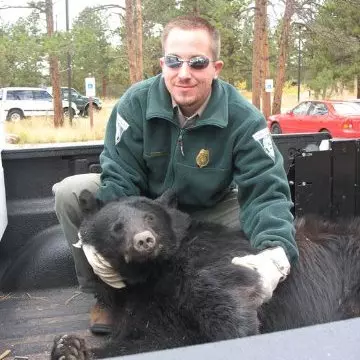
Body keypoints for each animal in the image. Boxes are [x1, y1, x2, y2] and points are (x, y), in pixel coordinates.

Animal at [50, 190, 360, 358]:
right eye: (117, 226)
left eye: (150, 218)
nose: (144, 240)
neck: (153, 271)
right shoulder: (148, 301)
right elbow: (153, 337)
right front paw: (70, 349)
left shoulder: (212, 252)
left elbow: (221, 286)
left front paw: (239, 331)